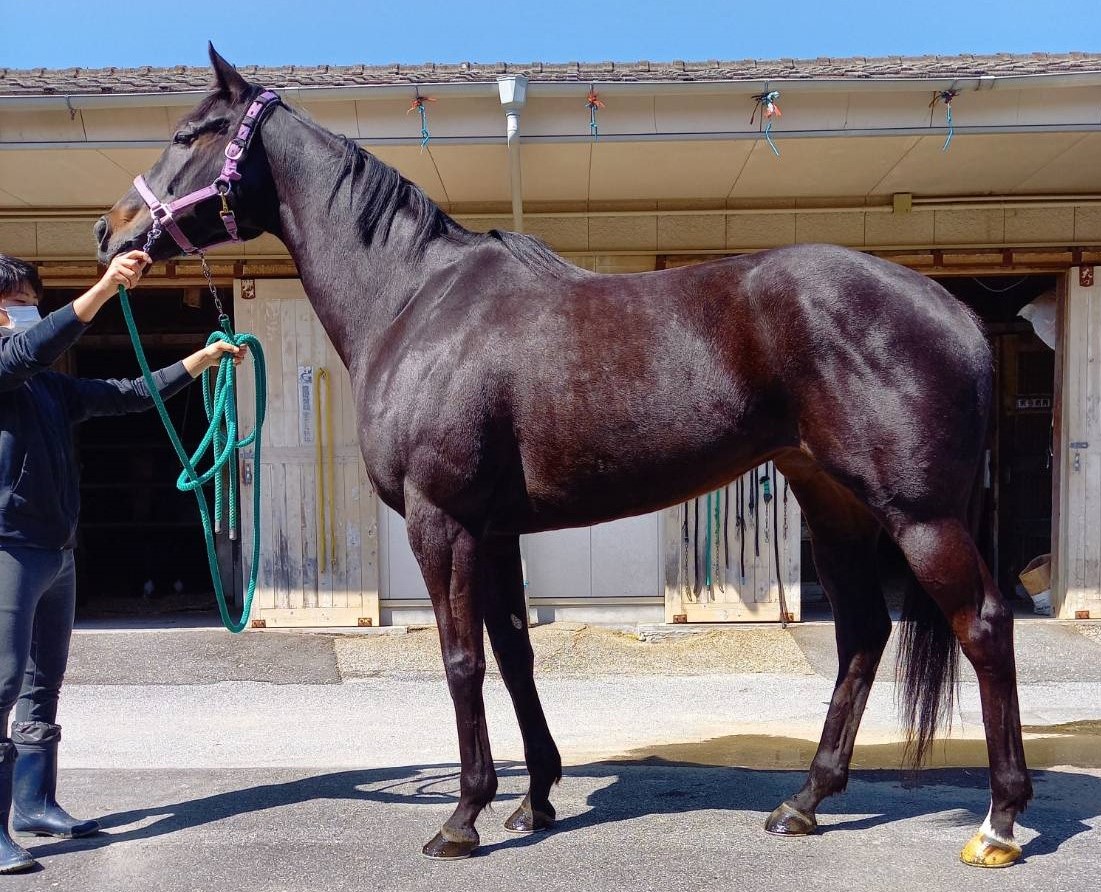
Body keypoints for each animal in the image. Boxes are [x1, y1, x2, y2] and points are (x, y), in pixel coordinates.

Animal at [95, 45, 1032, 868]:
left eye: (190, 133)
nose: (109, 228)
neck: (413, 300)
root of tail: (949, 308)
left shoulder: (443, 522)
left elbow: (461, 660)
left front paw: (462, 819)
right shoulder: (493, 530)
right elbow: (513, 653)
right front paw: (534, 798)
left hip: (917, 515)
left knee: (981, 625)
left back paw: (997, 824)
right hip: (831, 503)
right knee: (862, 634)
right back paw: (803, 802)